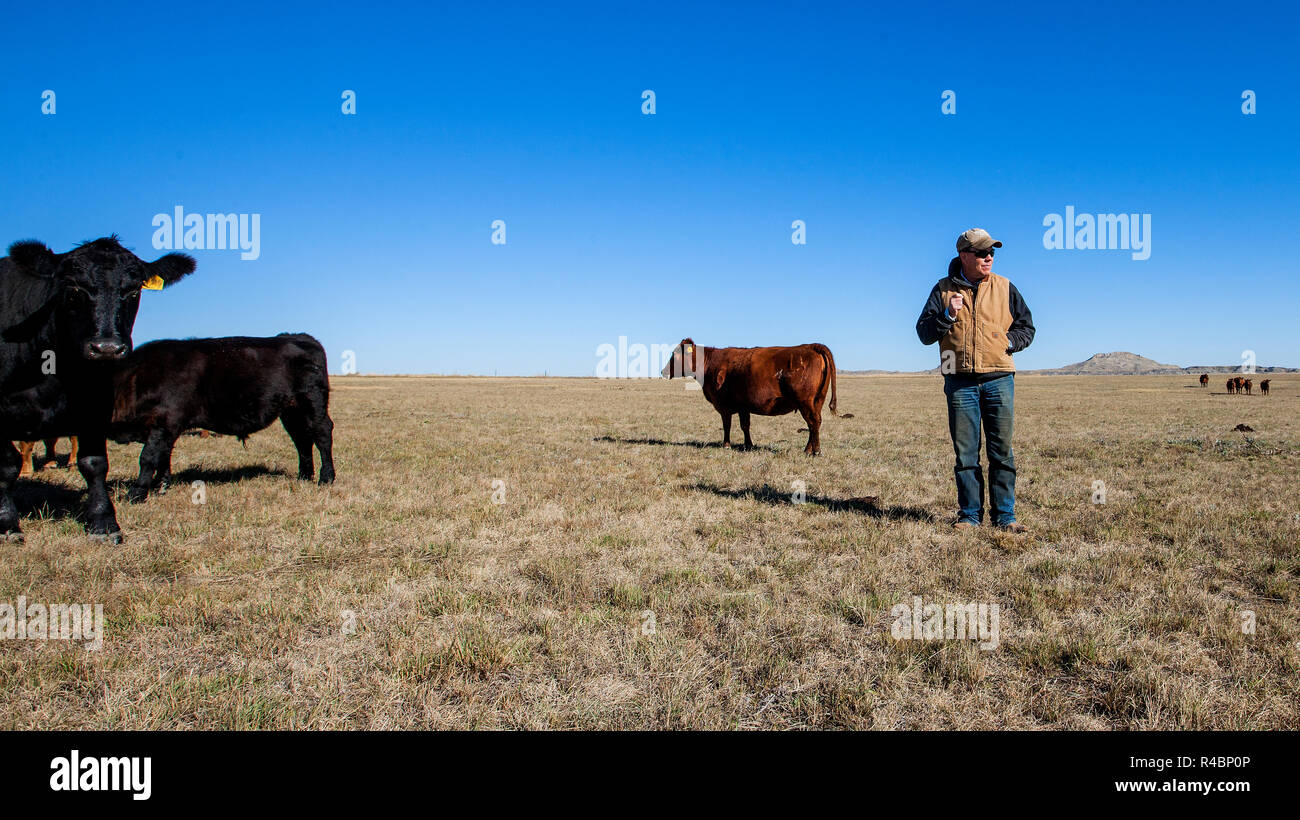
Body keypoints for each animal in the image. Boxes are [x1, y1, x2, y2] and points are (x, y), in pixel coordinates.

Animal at [0, 237, 195, 543]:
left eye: (133, 290)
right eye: (73, 288)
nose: (107, 348)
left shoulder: (94, 405)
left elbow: (94, 463)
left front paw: (103, 521)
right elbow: (8, 465)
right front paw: (8, 523)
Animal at [111, 332, 335, 501]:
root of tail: (300, 336)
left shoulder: (164, 422)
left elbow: (148, 457)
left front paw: (136, 494)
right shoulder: (165, 429)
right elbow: (163, 457)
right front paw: (160, 486)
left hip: (312, 402)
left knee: (322, 435)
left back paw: (326, 478)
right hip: (291, 411)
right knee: (302, 440)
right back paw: (304, 476)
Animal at [660, 337, 852, 454]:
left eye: (675, 354)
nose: (662, 371)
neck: (710, 365)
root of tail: (811, 346)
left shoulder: (724, 405)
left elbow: (727, 425)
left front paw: (726, 445)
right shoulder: (743, 406)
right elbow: (745, 426)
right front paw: (748, 445)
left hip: (806, 402)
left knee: (813, 423)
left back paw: (814, 451)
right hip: (817, 400)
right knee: (815, 424)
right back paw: (809, 449)